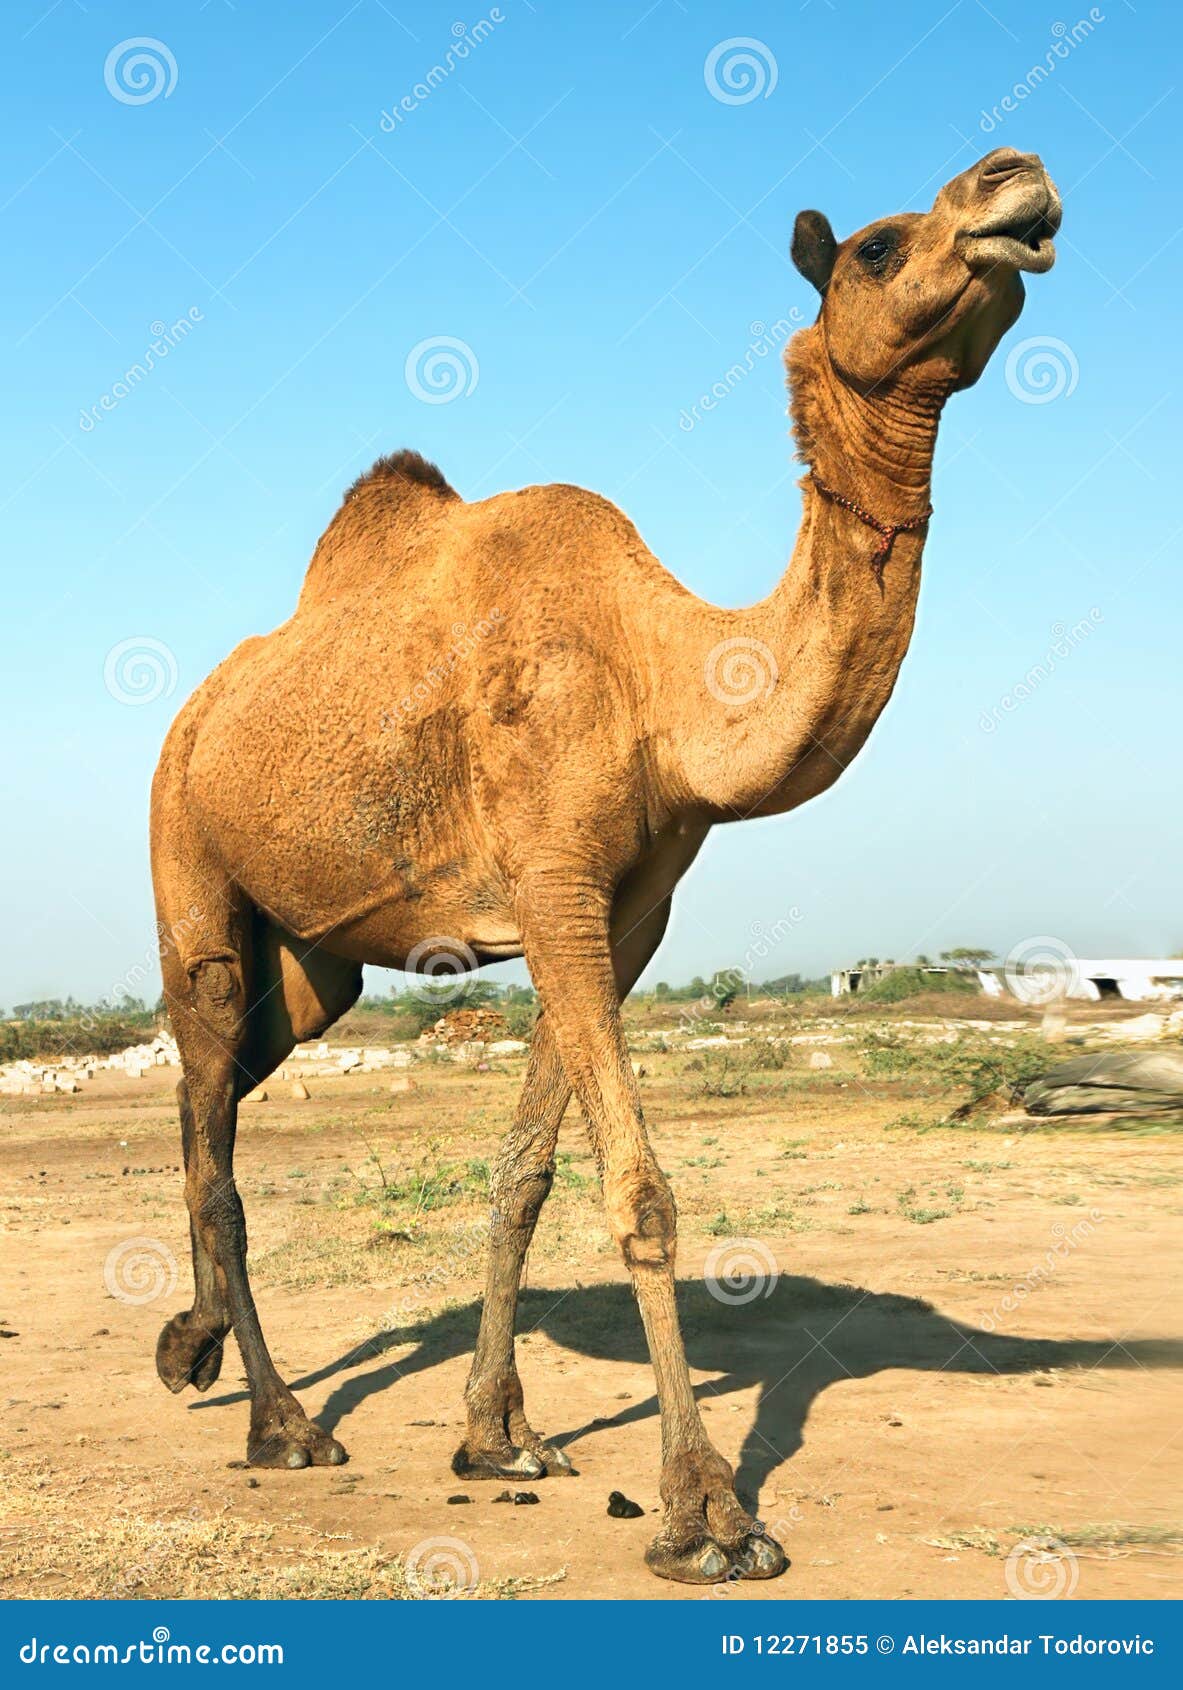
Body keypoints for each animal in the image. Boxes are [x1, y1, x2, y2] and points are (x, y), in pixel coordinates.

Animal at [150, 146, 1061, 1585]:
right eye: (873, 244)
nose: (1013, 180)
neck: (663, 674)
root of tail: (193, 714)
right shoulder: (550, 881)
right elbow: (637, 1186)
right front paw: (708, 1514)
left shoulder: (627, 909)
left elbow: (525, 1170)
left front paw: (498, 1438)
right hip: (185, 857)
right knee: (212, 1112)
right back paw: (283, 1423)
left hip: (314, 966)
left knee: (225, 1089)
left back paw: (189, 1348)